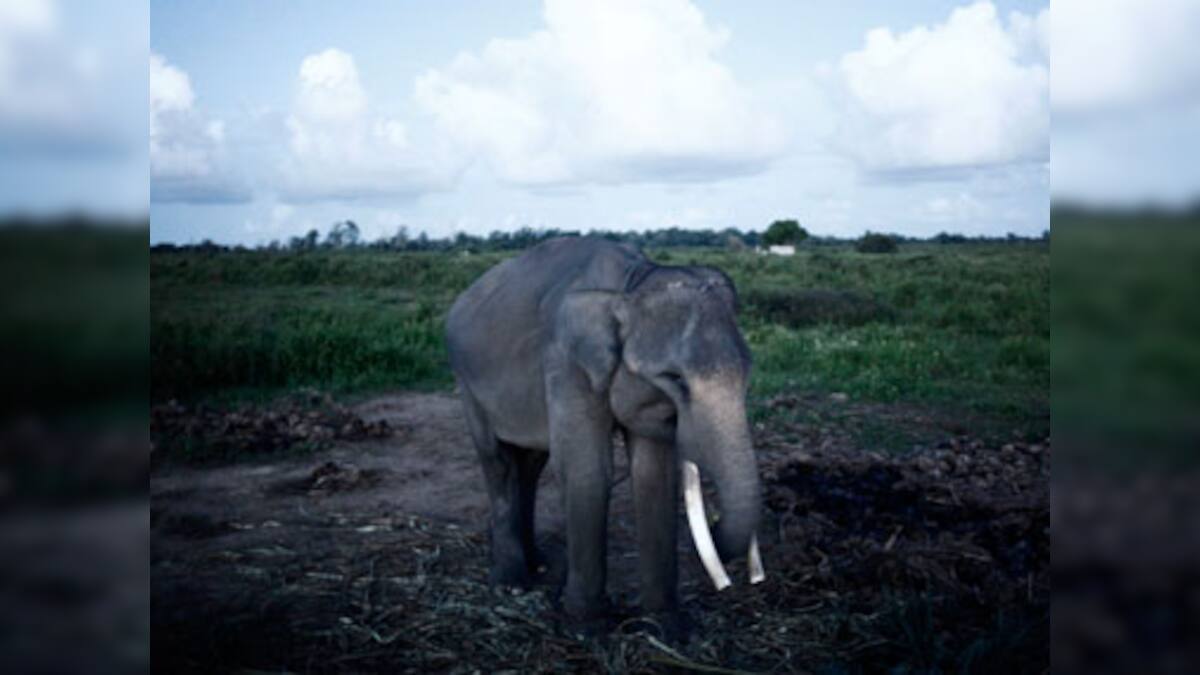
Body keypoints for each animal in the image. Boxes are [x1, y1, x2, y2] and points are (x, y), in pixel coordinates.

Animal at [446, 237, 762, 626]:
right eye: (674, 379)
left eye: (747, 371)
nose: (716, 531)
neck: (630, 284)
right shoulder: (566, 362)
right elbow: (588, 469)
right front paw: (587, 623)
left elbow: (652, 472)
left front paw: (668, 622)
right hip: (467, 384)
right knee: (497, 460)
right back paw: (512, 584)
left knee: (532, 464)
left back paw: (538, 564)